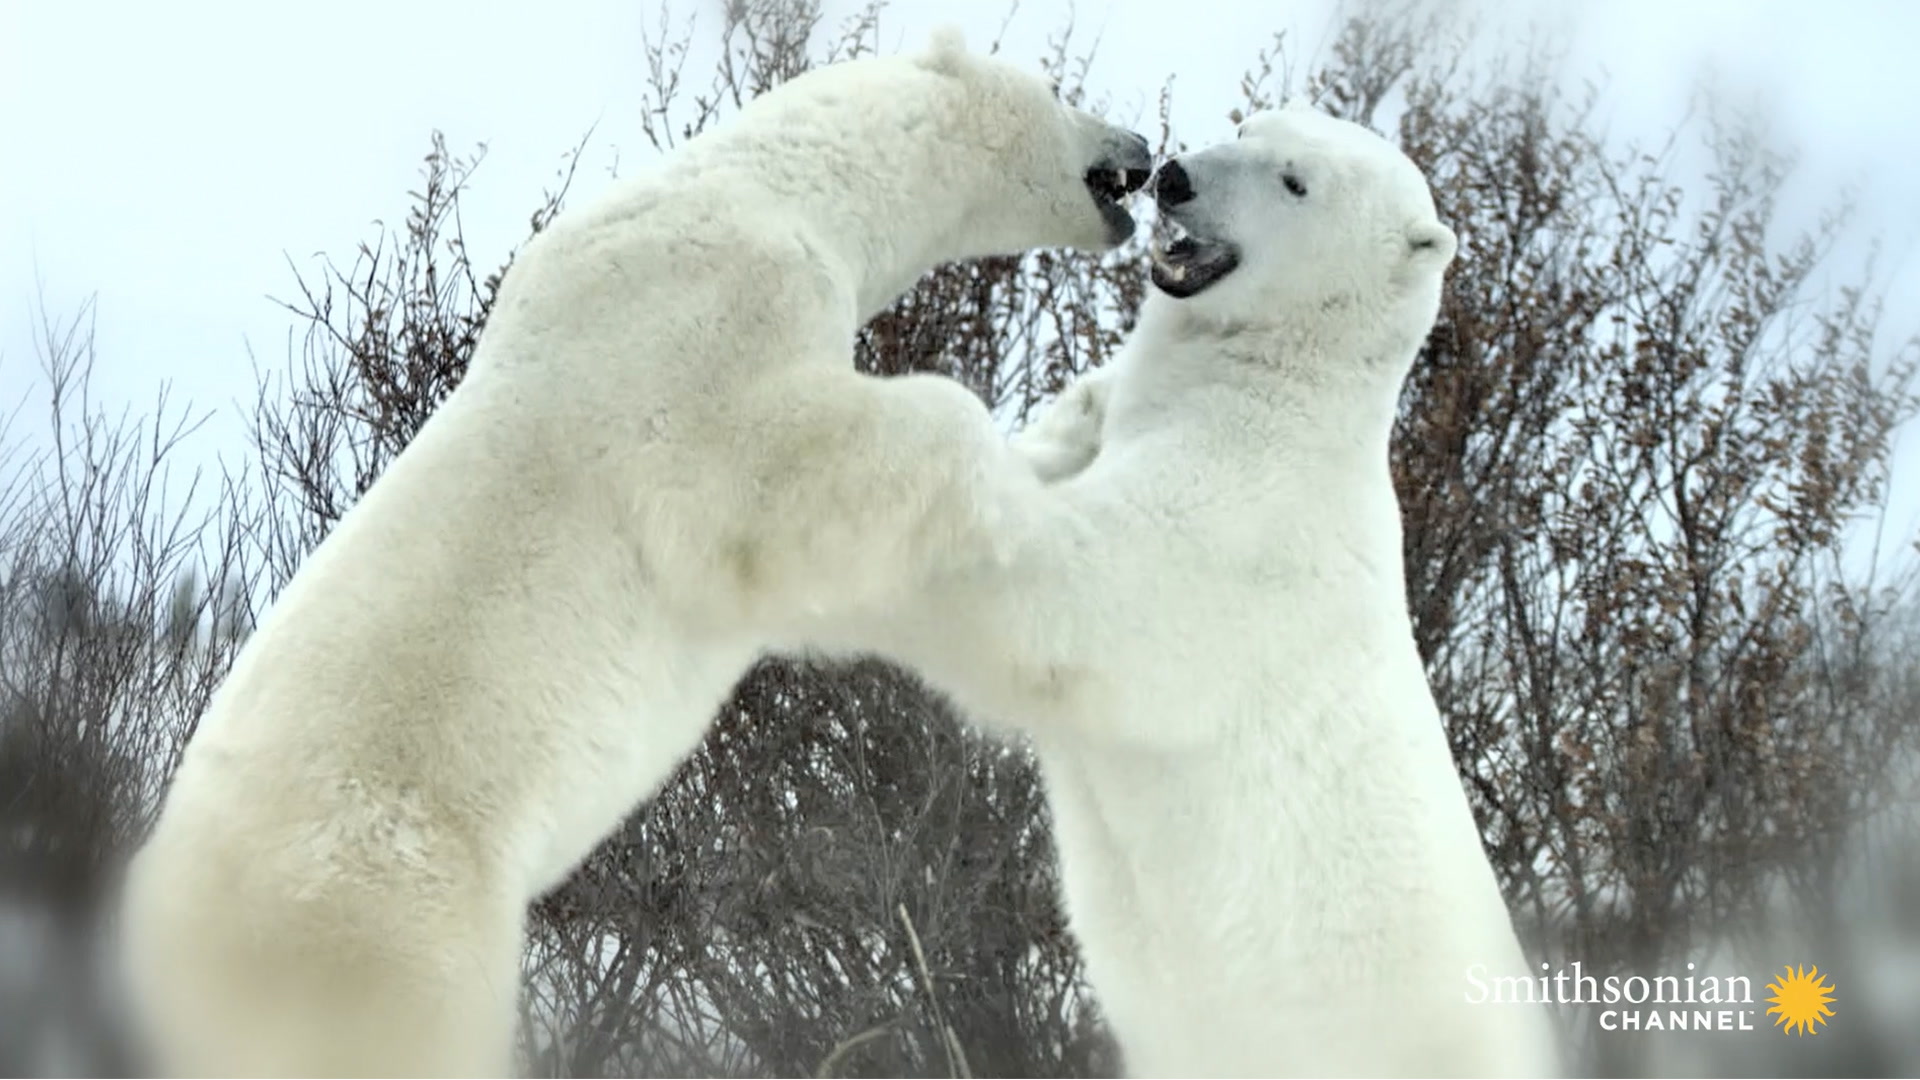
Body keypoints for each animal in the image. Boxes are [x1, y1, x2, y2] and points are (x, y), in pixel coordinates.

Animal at [116, 30, 1151, 1077]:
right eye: (1055, 87)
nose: (1142, 144)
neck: (781, 183)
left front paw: (1073, 429)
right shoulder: (711, 331)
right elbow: (783, 487)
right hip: (390, 919)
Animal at [816, 102, 1562, 1077]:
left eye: (1295, 181)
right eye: (1251, 123)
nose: (1174, 177)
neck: (1278, 392)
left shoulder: (1240, 530)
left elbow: (1079, 601)